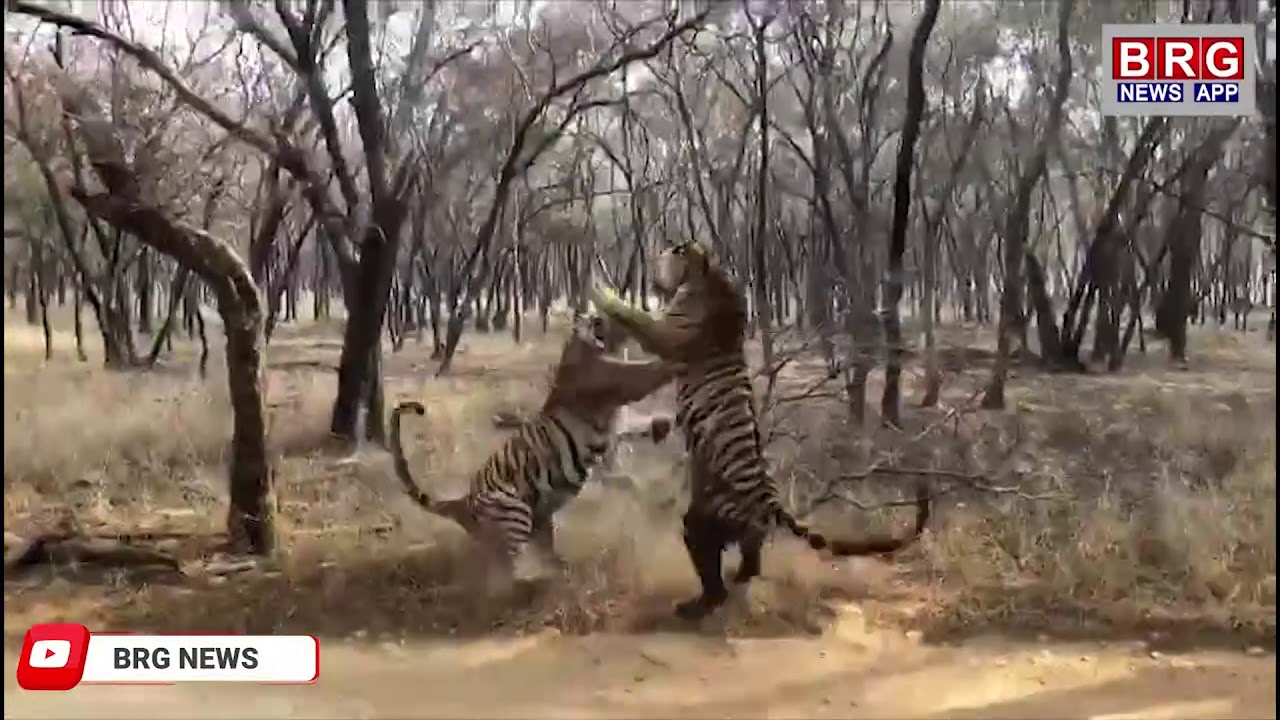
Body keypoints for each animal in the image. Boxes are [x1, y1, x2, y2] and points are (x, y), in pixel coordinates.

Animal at [389, 314, 675, 579]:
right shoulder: (622, 382)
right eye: (606, 319)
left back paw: (560, 569)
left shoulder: (619, 423)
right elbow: (652, 371)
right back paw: (539, 578)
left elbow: (639, 425)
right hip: (512, 509)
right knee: (511, 567)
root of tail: (464, 500)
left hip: (538, 517)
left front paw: (663, 425)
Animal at [591, 240, 931, 621]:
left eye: (678, 249)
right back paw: (734, 580)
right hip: (716, 519)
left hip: (704, 523)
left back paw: (699, 605)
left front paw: (603, 293)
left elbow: (638, 318)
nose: (659, 252)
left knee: (716, 572)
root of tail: (767, 496)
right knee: (748, 557)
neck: (708, 278)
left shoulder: (668, 333)